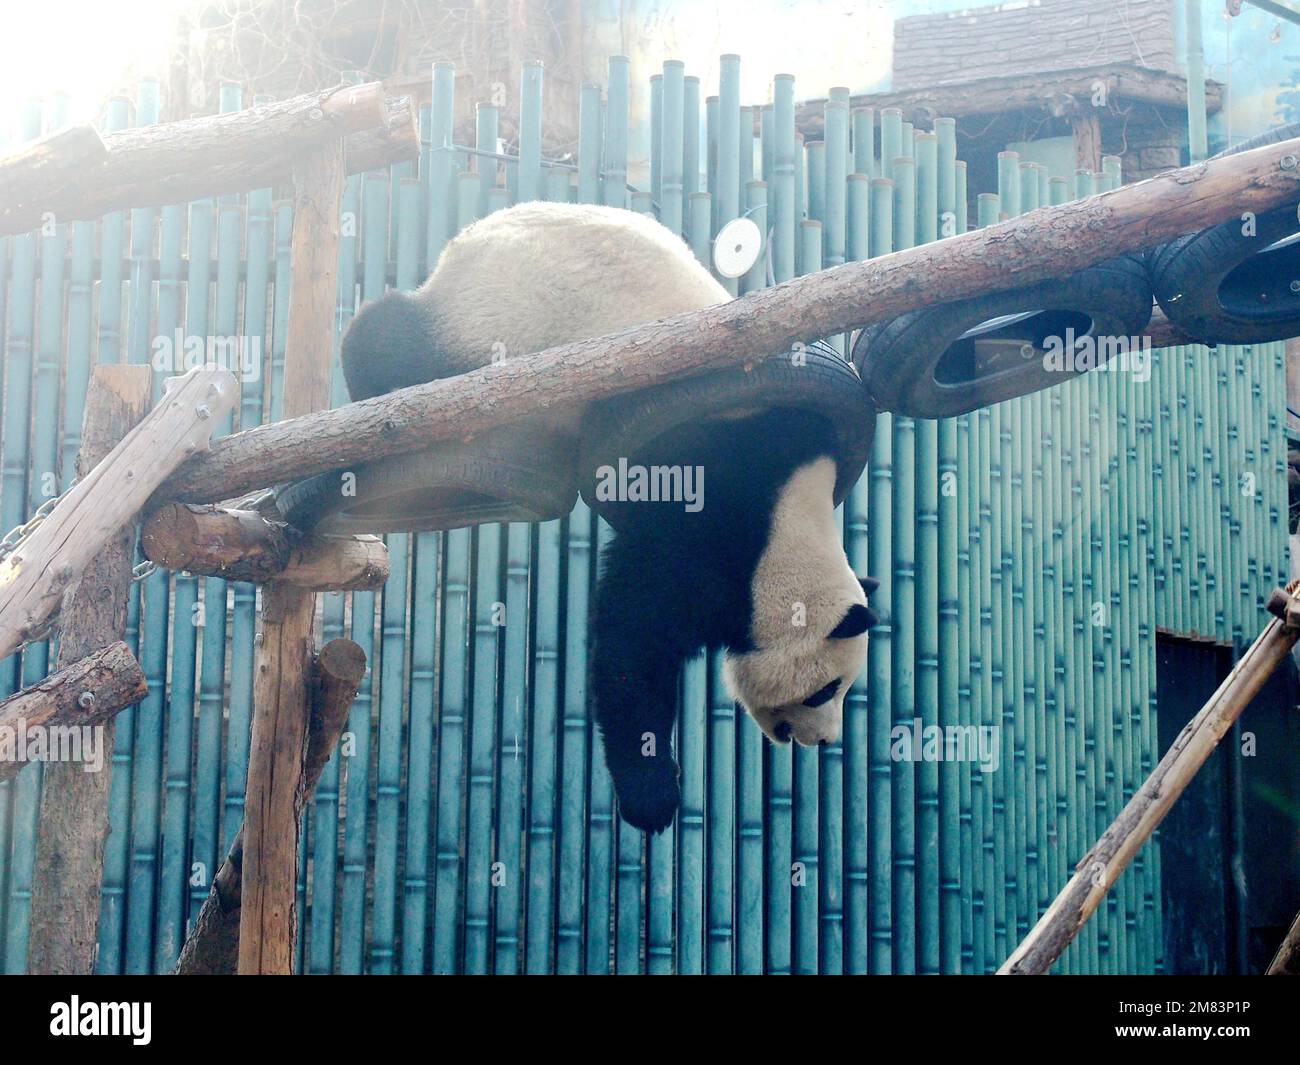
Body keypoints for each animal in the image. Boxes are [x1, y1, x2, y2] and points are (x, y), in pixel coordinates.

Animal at [340, 201, 879, 834]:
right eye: (826, 689)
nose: (825, 740)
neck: (785, 520)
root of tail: (470, 236)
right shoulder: (707, 515)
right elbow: (633, 645)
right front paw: (652, 797)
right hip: (494, 314)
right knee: (395, 339)